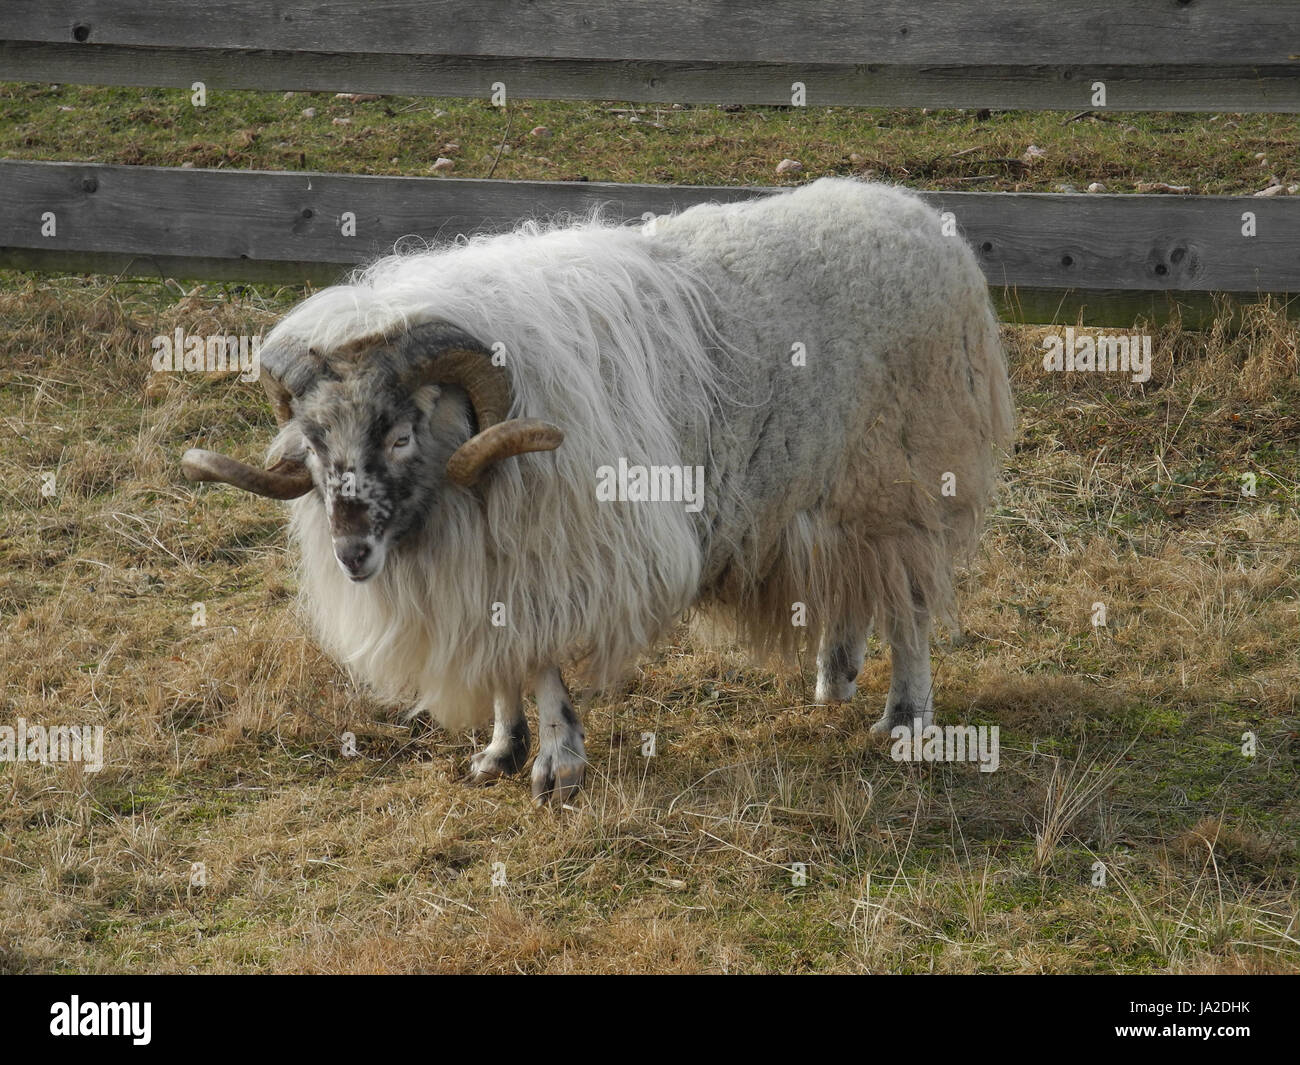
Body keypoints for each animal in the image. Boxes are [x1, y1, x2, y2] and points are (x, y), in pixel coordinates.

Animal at [182, 177, 1015, 802]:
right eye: (314, 441)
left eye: (399, 434)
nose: (351, 550)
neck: (455, 496)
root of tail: (921, 216)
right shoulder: (493, 568)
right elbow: (503, 660)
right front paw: (500, 747)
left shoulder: (558, 550)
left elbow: (545, 662)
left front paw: (558, 763)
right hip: (839, 493)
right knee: (855, 586)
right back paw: (833, 678)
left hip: (903, 480)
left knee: (910, 603)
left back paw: (906, 716)